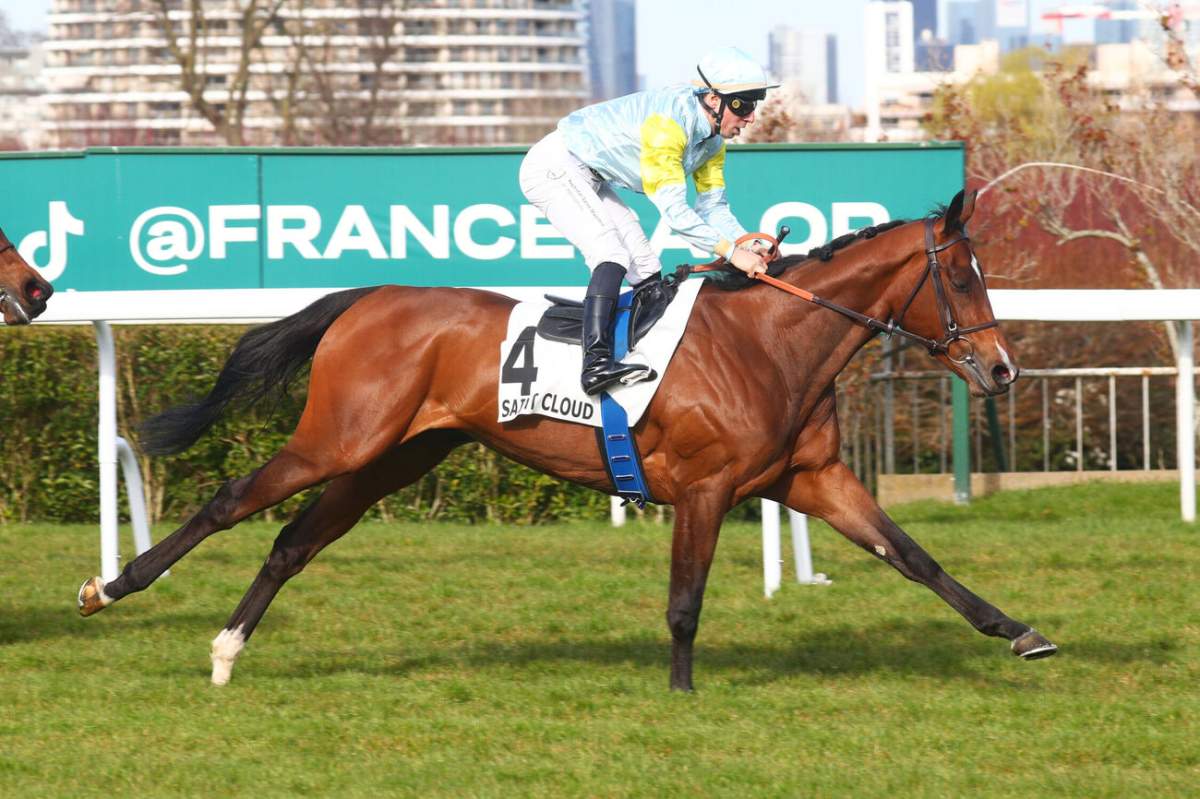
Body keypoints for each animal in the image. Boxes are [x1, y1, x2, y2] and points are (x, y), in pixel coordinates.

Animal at [77, 189, 1057, 690]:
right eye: (960, 277)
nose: (1003, 368)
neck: (770, 341)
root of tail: (367, 298)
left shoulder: (811, 478)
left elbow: (916, 558)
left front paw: (1018, 632)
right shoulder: (704, 488)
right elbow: (685, 601)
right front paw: (682, 693)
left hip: (392, 455)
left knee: (292, 541)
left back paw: (226, 651)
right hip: (339, 438)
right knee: (230, 500)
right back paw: (111, 587)